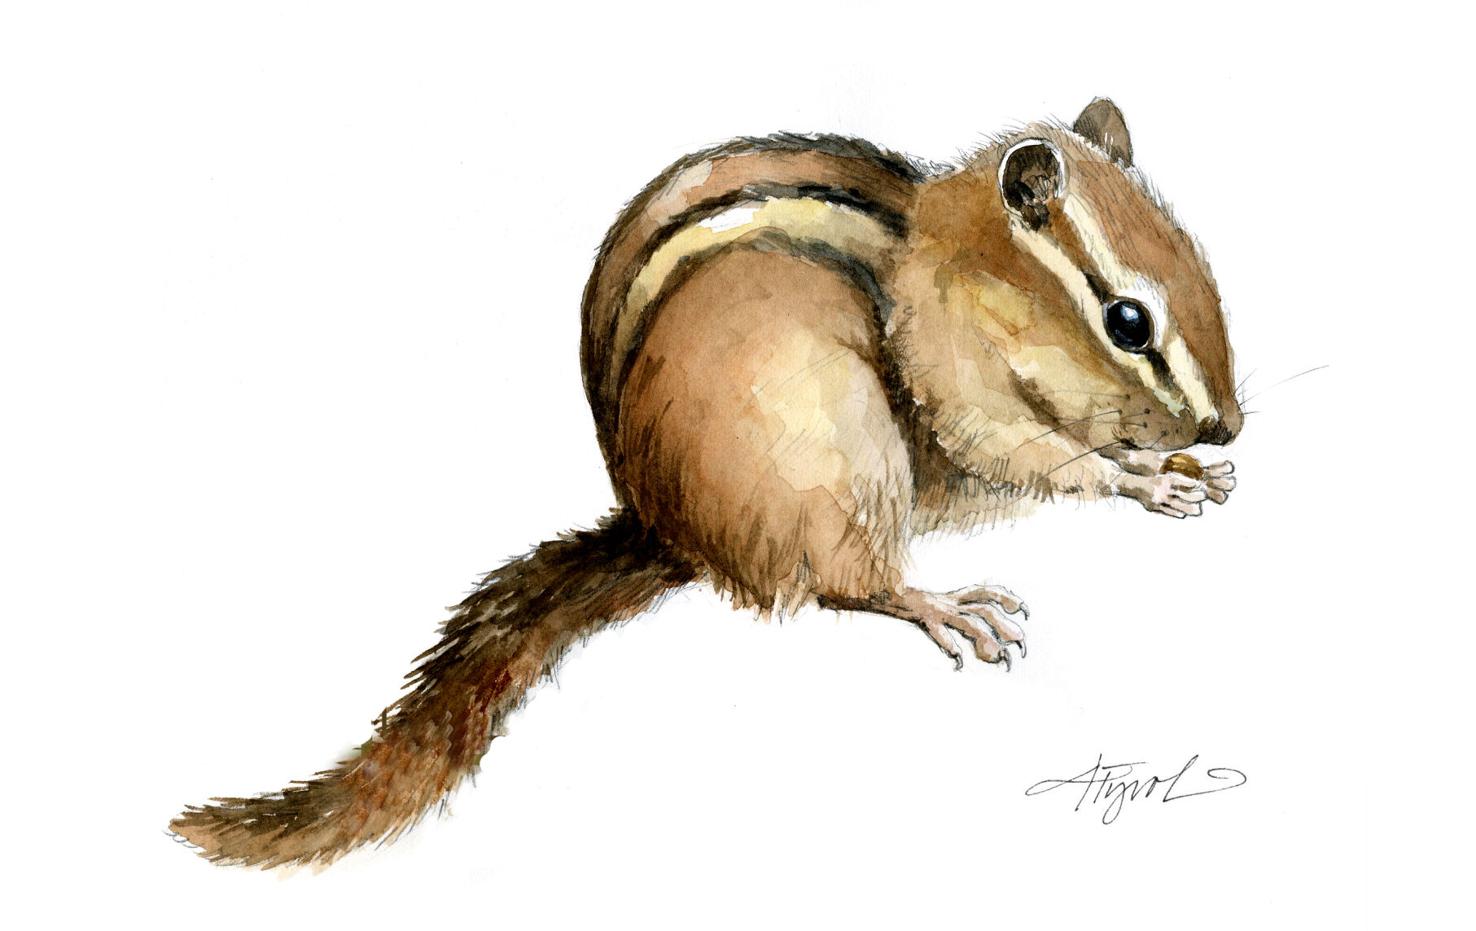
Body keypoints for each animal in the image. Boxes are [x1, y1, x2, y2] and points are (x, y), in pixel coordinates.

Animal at [172, 98, 1241, 867]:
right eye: (1129, 320)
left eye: (1204, 268)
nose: (1227, 423)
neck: (968, 273)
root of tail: (667, 526)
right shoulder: (959, 390)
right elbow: (1040, 457)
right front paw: (1149, 481)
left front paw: (1184, 465)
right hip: (839, 463)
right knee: (848, 583)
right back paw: (942, 603)